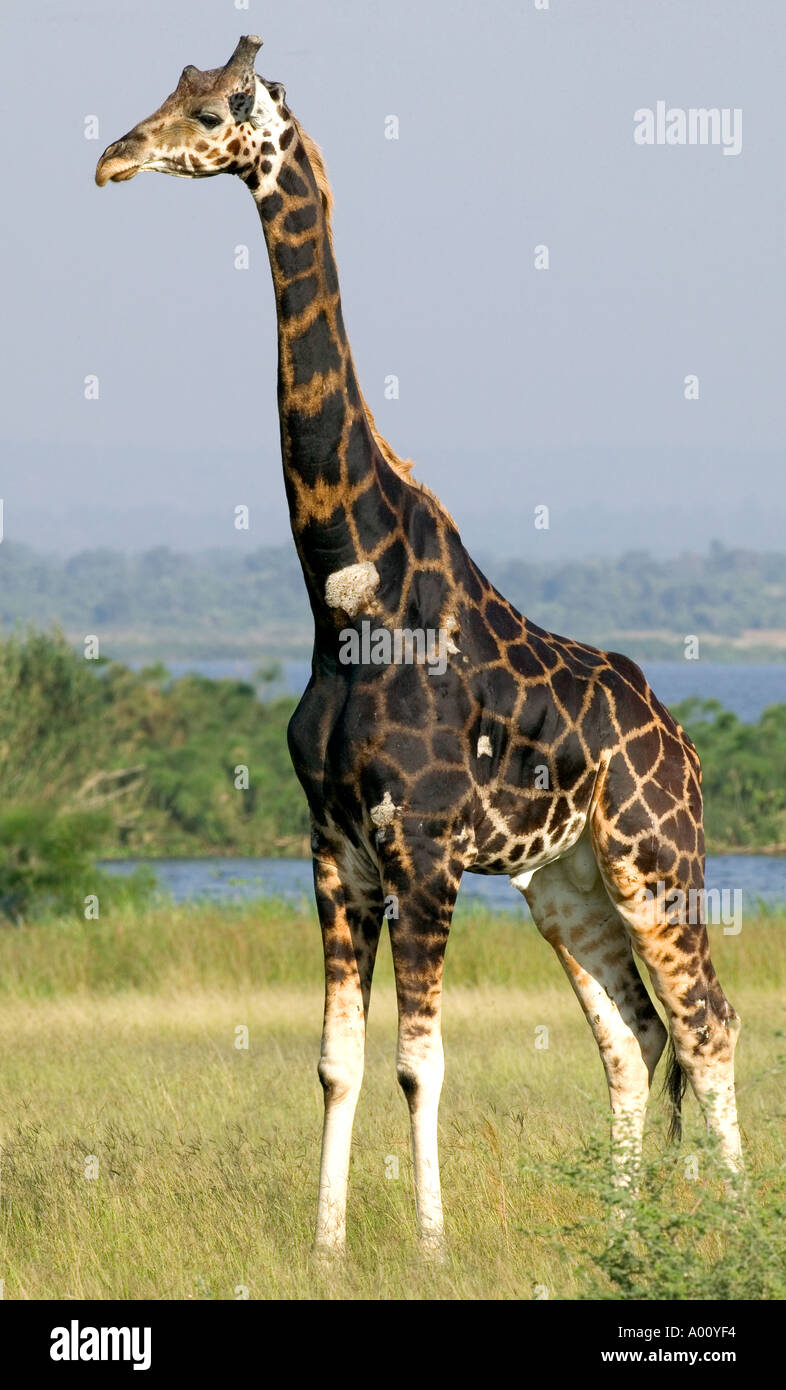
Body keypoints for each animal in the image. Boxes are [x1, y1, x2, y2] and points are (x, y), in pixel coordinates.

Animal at [96, 35, 743, 1257]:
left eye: (214, 110)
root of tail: (681, 742)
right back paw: (623, 1238)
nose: (111, 159)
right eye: (167, 94)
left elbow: (420, 1064)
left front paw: (432, 1243)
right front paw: (326, 1247)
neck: (345, 589)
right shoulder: (333, 847)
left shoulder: (425, 847)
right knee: (633, 1035)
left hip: (656, 859)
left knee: (710, 1025)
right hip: (563, 880)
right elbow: (337, 1064)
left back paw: (731, 1232)